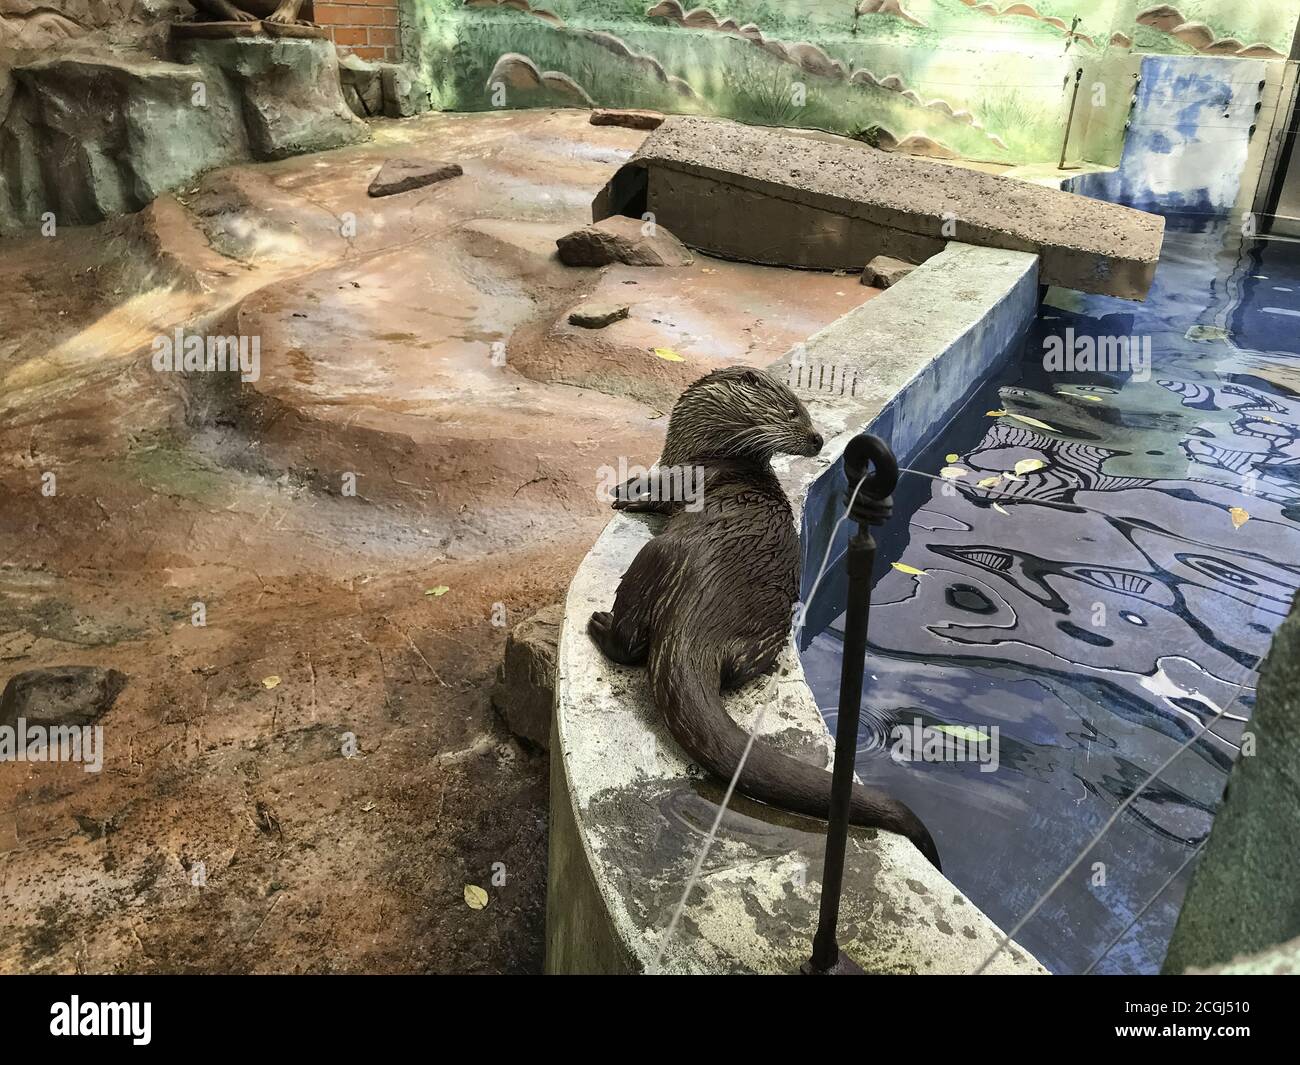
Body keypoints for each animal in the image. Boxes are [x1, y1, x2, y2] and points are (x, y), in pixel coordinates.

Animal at [588, 366, 941, 869]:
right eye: (795, 411)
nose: (818, 438)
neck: (701, 449)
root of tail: (701, 616)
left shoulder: (681, 476)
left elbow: (656, 497)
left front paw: (625, 496)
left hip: (656, 558)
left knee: (630, 641)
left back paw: (600, 624)